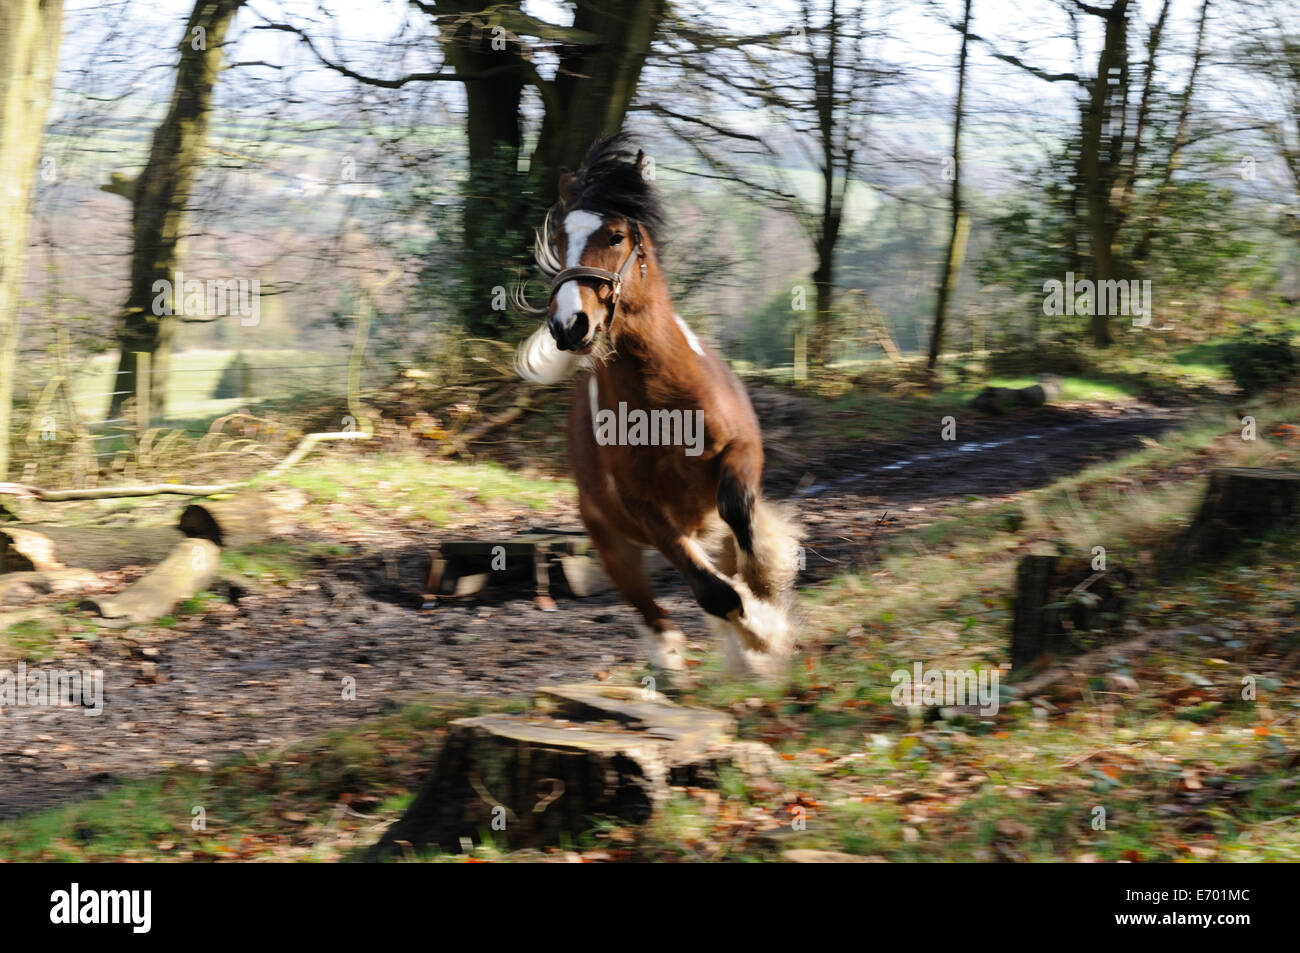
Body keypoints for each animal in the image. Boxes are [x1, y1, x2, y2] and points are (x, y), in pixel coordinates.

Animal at [513, 134, 800, 677]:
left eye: (616, 236)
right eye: (559, 239)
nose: (569, 325)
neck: (661, 403)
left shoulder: (741, 452)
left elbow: (740, 513)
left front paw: (767, 589)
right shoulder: (642, 508)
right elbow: (715, 593)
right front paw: (763, 639)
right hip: (612, 544)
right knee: (653, 608)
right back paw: (677, 657)